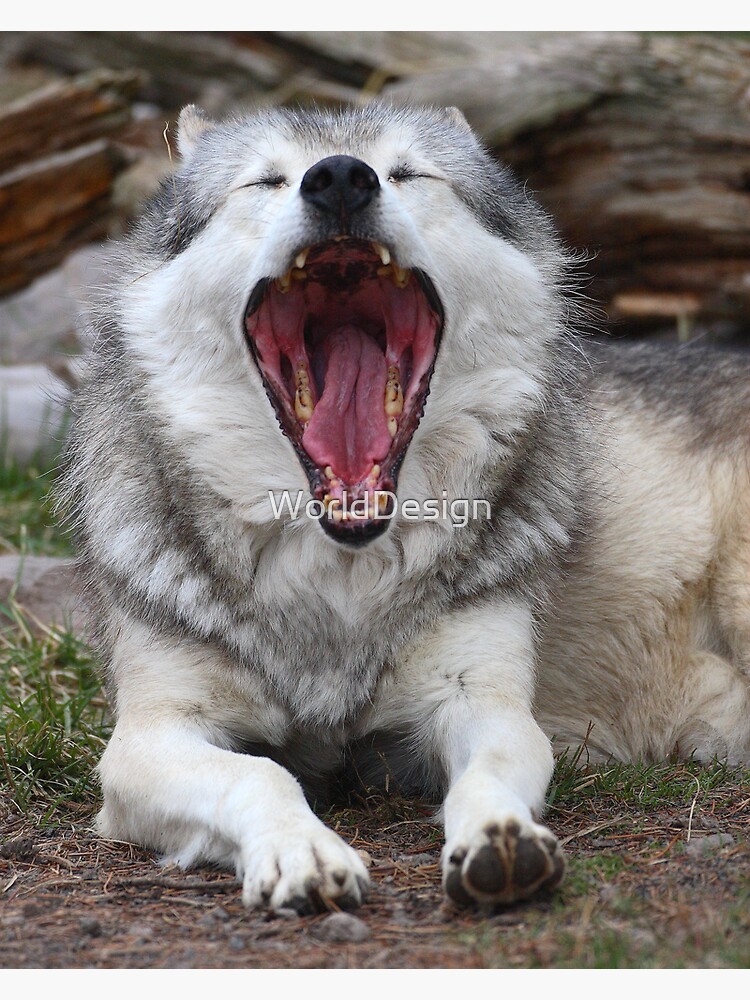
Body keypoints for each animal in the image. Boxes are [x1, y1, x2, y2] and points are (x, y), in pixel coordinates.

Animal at [61, 102, 750, 914]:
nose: (339, 178)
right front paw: (301, 851)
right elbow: (262, 772)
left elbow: (486, 775)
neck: (338, 579)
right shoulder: (146, 739)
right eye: (266, 180)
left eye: (406, 173)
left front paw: (499, 839)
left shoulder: (484, 703)